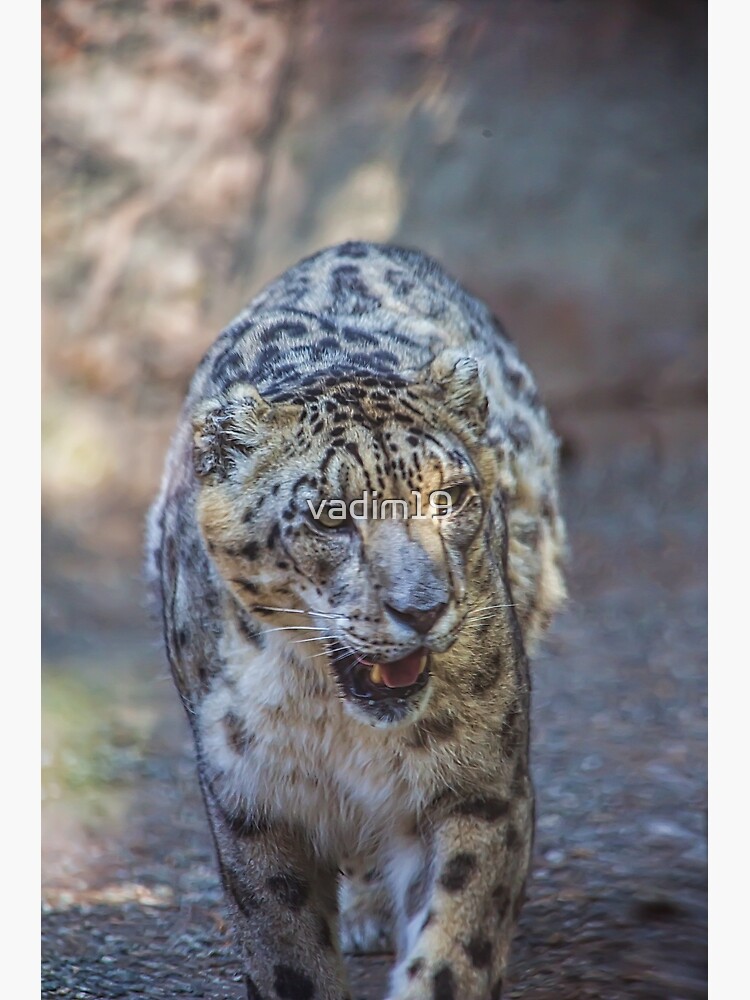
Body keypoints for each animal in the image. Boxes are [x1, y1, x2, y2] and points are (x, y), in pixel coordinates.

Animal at [146, 240, 566, 1000]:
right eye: (329, 515)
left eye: (450, 497)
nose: (422, 607)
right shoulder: (252, 801)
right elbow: (287, 952)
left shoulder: (482, 786)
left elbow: (458, 943)